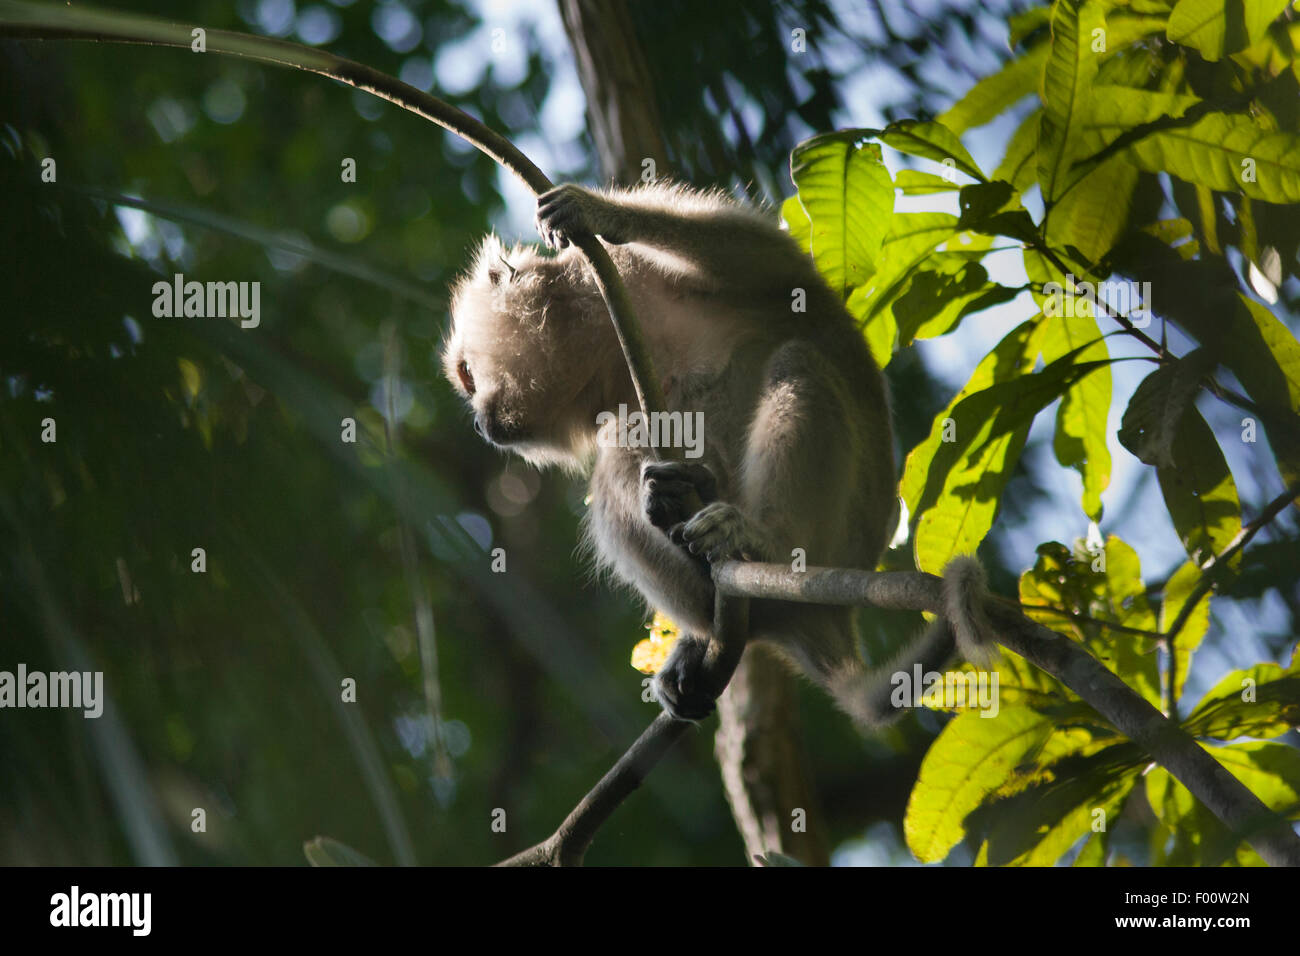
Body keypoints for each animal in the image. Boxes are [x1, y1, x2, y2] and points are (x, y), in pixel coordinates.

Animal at [442, 181, 994, 727]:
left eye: (468, 375)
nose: (478, 423)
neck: (612, 343)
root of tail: (821, 615)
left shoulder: (628, 273)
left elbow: (766, 260)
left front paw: (601, 212)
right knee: (620, 476)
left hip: (841, 533)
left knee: (799, 363)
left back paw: (766, 542)